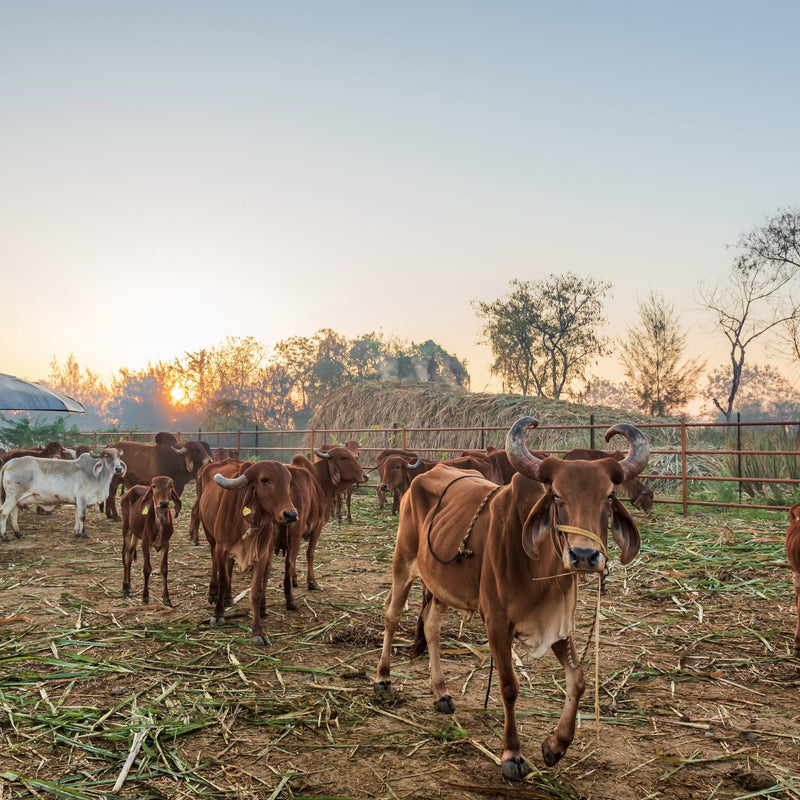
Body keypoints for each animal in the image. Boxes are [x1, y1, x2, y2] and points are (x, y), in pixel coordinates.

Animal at [121, 476, 182, 606]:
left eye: (171, 486)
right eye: (154, 486)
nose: (164, 503)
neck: (160, 524)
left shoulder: (166, 544)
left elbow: (164, 569)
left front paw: (166, 598)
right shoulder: (145, 543)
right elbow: (147, 569)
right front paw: (145, 597)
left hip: (135, 534)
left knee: (130, 554)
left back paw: (129, 583)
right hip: (127, 529)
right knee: (125, 556)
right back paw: (125, 586)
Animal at [195, 458, 298, 644]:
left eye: (288, 481)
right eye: (264, 479)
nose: (291, 514)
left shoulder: (262, 556)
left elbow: (255, 593)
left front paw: (258, 631)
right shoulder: (221, 549)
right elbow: (223, 580)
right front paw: (218, 615)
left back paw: (228, 597)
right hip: (210, 536)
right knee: (215, 565)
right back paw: (213, 593)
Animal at [276, 446, 369, 609]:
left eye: (354, 456)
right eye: (344, 458)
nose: (366, 476)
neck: (319, 480)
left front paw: (295, 579)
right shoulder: (316, 527)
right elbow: (309, 553)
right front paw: (312, 582)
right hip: (294, 530)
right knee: (289, 560)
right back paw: (290, 600)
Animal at [374, 417, 648, 779]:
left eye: (609, 496)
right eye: (556, 495)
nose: (585, 556)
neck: (540, 570)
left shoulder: (558, 625)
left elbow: (578, 681)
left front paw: (555, 745)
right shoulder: (497, 624)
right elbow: (509, 687)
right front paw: (512, 754)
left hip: (441, 586)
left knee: (431, 627)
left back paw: (441, 692)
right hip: (403, 564)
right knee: (391, 614)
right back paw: (382, 678)